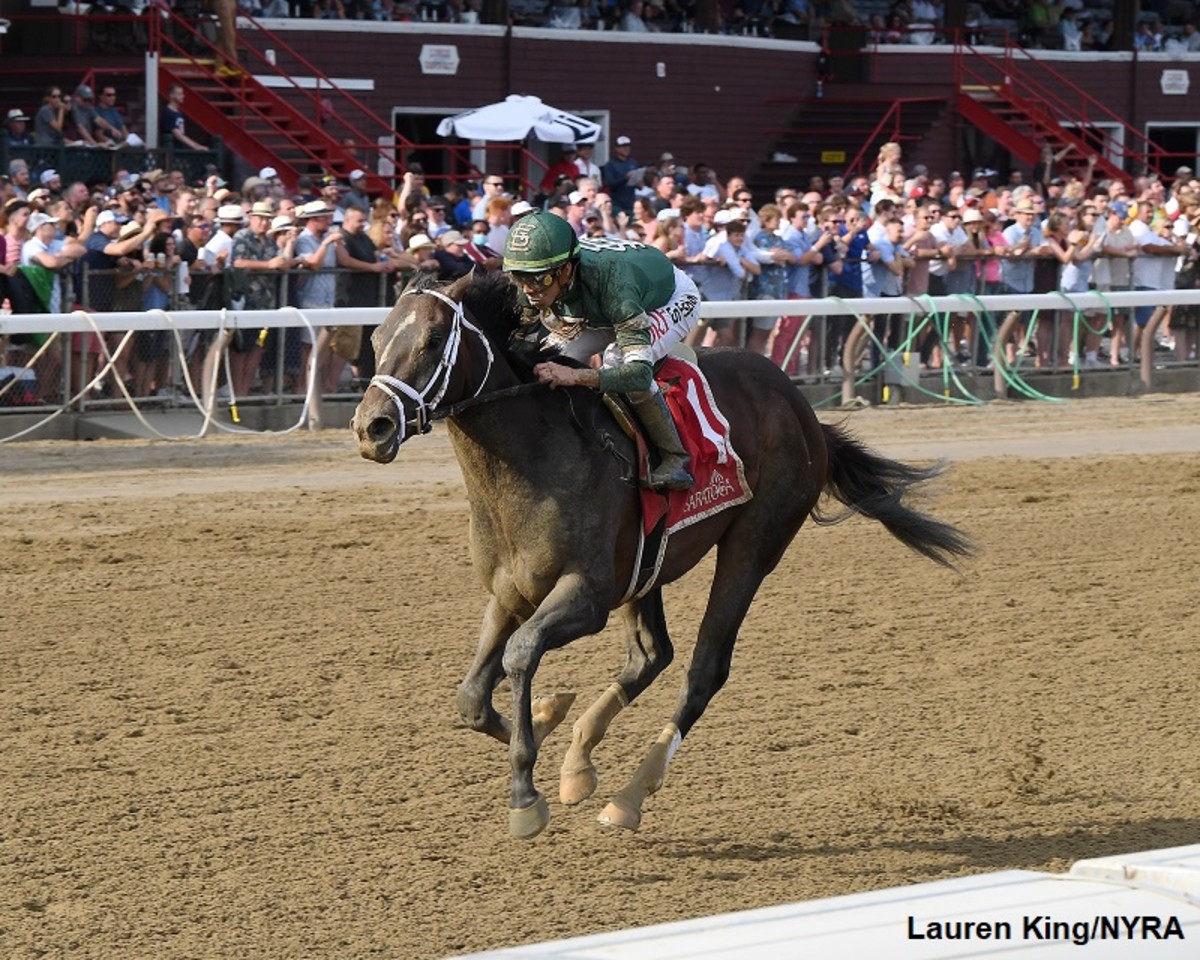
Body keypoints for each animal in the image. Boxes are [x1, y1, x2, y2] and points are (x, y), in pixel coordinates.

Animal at [351, 270, 972, 840]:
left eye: (434, 339)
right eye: (377, 337)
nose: (371, 427)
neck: (533, 457)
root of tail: (801, 407)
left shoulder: (587, 595)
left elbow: (521, 654)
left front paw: (526, 794)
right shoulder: (511, 591)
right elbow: (472, 698)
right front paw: (548, 723)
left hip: (754, 543)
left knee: (703, 670)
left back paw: (628, 797)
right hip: (647, 568)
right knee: (652, 655)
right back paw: (579, 762)